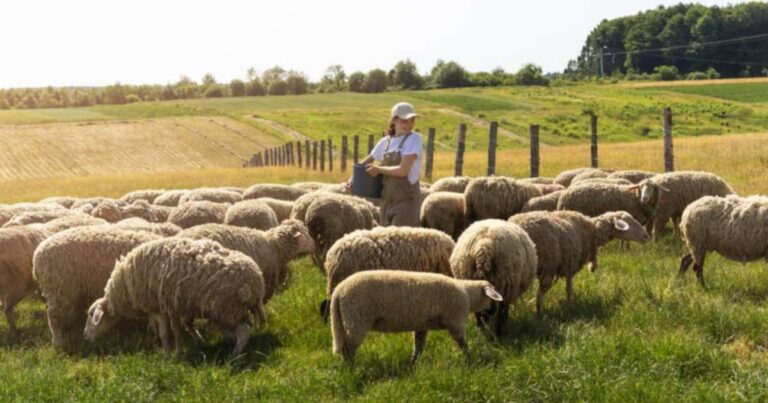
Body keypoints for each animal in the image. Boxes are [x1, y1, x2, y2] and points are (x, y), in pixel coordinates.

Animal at [84, 237, 267, 356]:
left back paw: (235, 355)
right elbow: (177, 330)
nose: (85, 336)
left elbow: (166, 333)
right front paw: (179, 349)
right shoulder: (171, 307)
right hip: (235, 309)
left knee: (244, 330)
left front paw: (168, 354)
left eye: (92, 316)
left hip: (227, 308)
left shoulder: (158, 308)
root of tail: (256, 281)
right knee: (246, 327)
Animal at [330, 270, 503, 364]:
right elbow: (463, 343)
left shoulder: (422, 325)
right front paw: (471, 359)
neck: (467, 294)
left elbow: (419, 347)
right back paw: (352, 369)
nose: (495, 310)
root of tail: (338, 292)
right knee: (348, 348)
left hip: (346, 320)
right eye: (492, 298)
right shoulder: (456, 321)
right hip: (357, 319)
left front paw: (413, 364)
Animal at [510, 210, 649, 313]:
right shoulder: (570, 264)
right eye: (629, 222)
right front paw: (570, 305)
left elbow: (568, 287)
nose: (646, 236)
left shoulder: (567, 264)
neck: (593, 231)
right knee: (540, 293)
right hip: (548, 265)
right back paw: (539, 313)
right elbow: (569, 288)